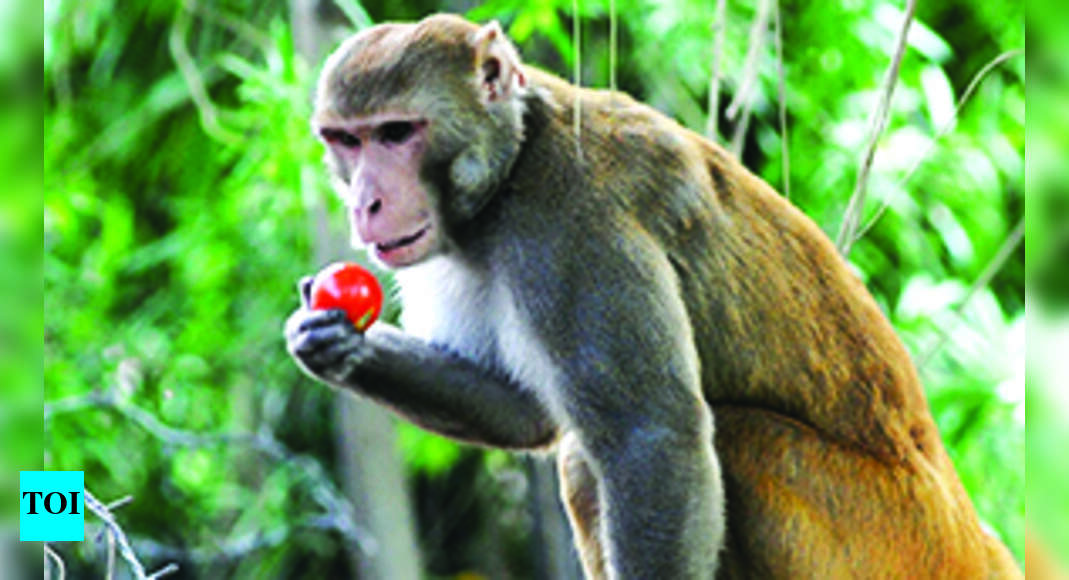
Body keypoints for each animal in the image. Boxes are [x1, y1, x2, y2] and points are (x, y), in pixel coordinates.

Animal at [285, 14, 1022, 579]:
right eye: (346, 140)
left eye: (397, 133)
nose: (367, 202)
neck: (511, 167)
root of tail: (976, 540)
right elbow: (528, 414)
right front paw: (334, 342)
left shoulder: (571, 226)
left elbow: (652, 438)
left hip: (892, 545)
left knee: (721, 440)